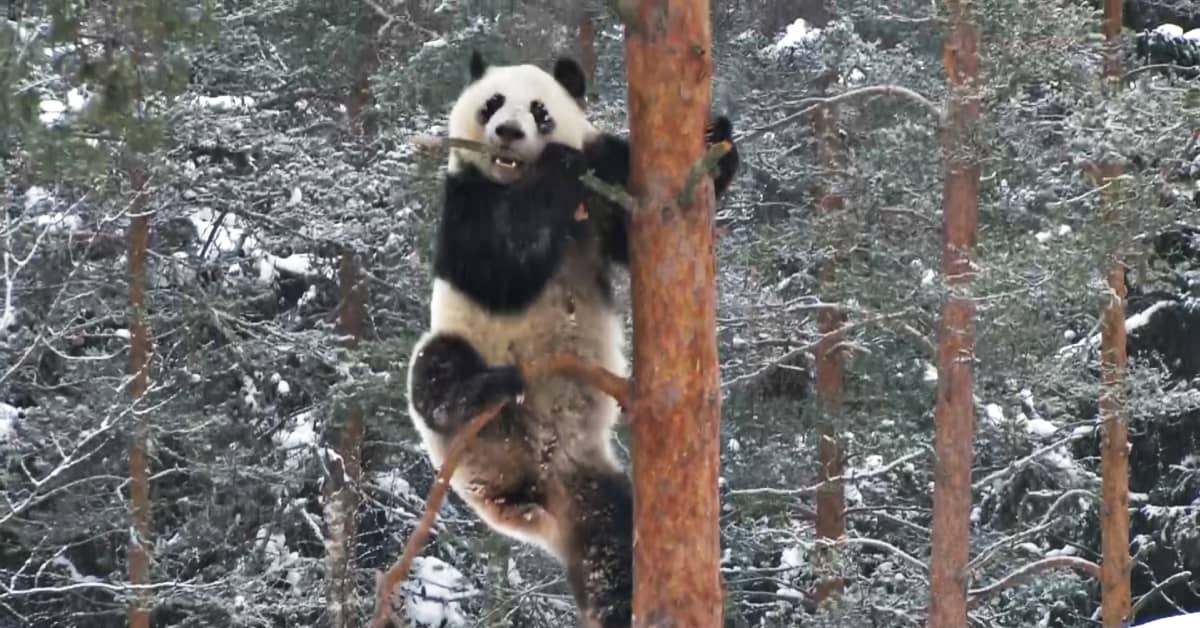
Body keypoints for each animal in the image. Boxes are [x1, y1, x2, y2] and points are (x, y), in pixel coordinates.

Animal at [405, 50, 740, 627]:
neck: (516, 182)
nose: (508, 133)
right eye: (492, 103)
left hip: (587, 486)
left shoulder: (603, 187)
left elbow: (634, 223)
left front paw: (716, 138)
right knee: (436, 368)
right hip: (460, 431)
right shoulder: (465, 199)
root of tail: (529, 498)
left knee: (612, 547)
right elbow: (499, 269)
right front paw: (556, 166)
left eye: (539, 110)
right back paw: (484, 390)